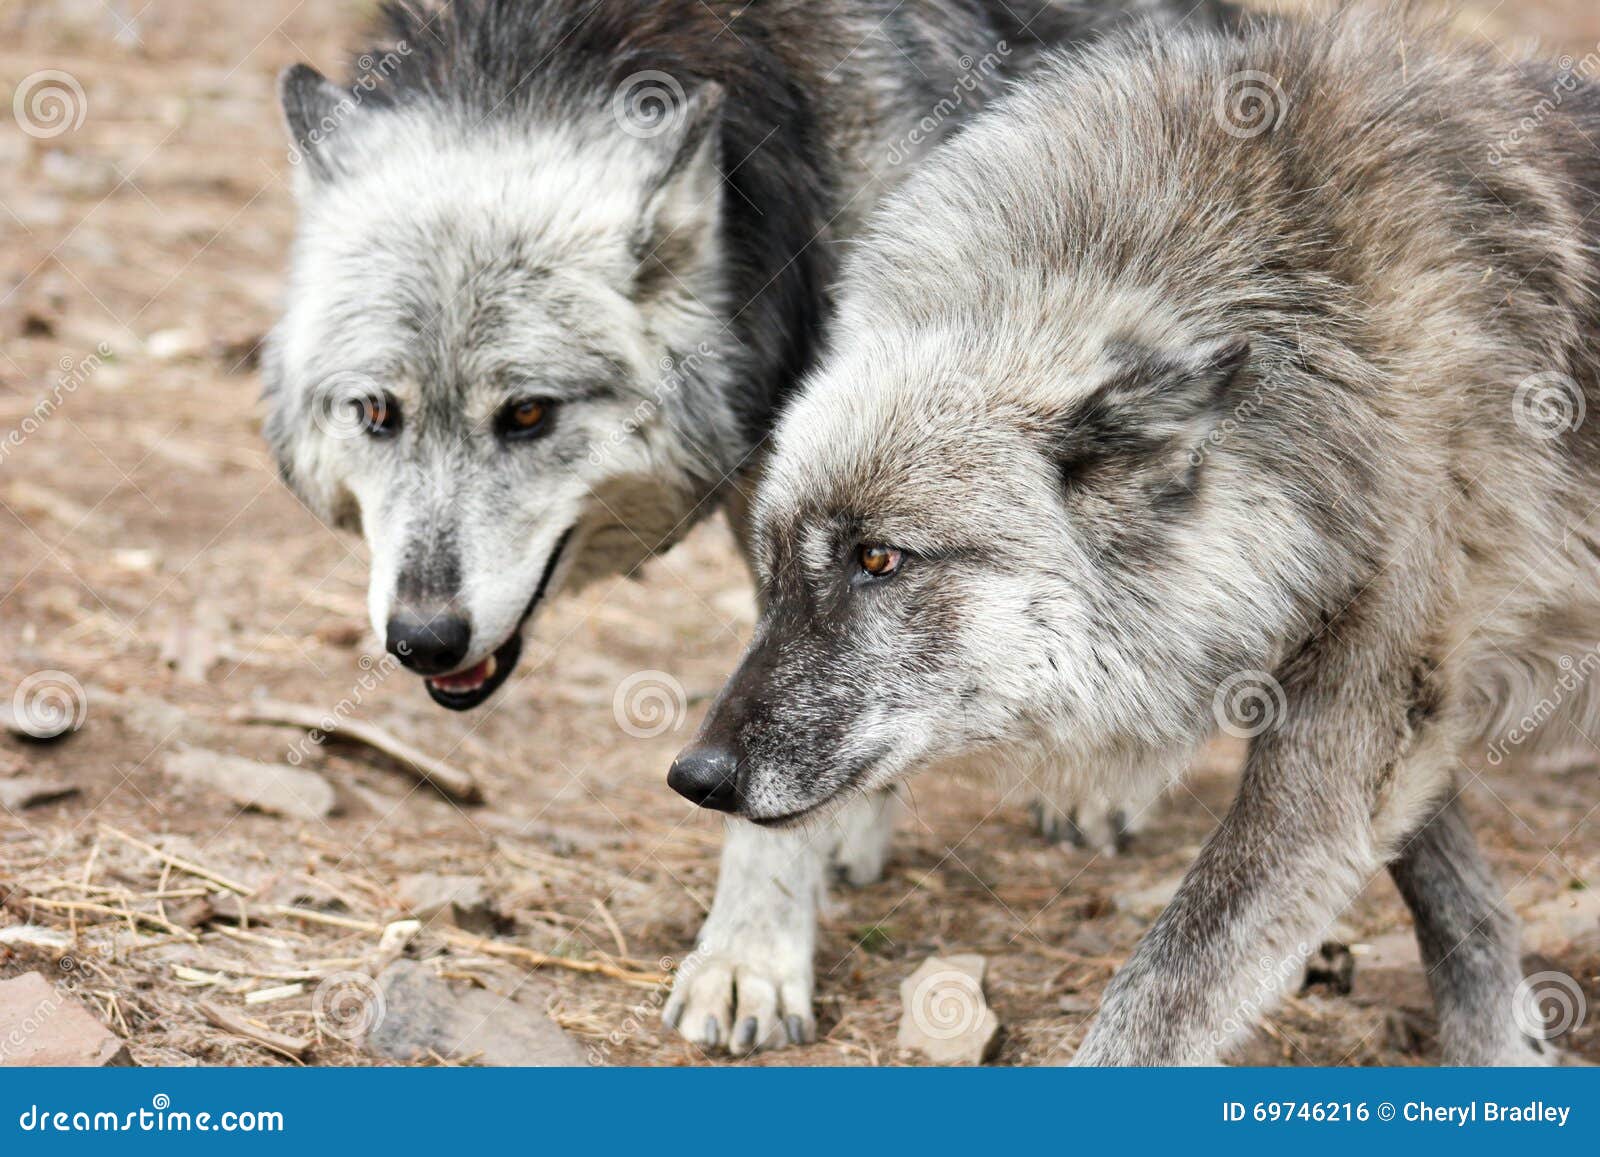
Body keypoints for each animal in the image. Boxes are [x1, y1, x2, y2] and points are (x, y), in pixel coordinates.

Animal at [668, 7, 1600, 1064]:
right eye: (775, 571)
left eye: (878, 559)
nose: (696, 776)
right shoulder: (1392, 703)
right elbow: (1454, 895)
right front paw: (1502, 1048)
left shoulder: (1361, 701)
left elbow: (1172, 980)